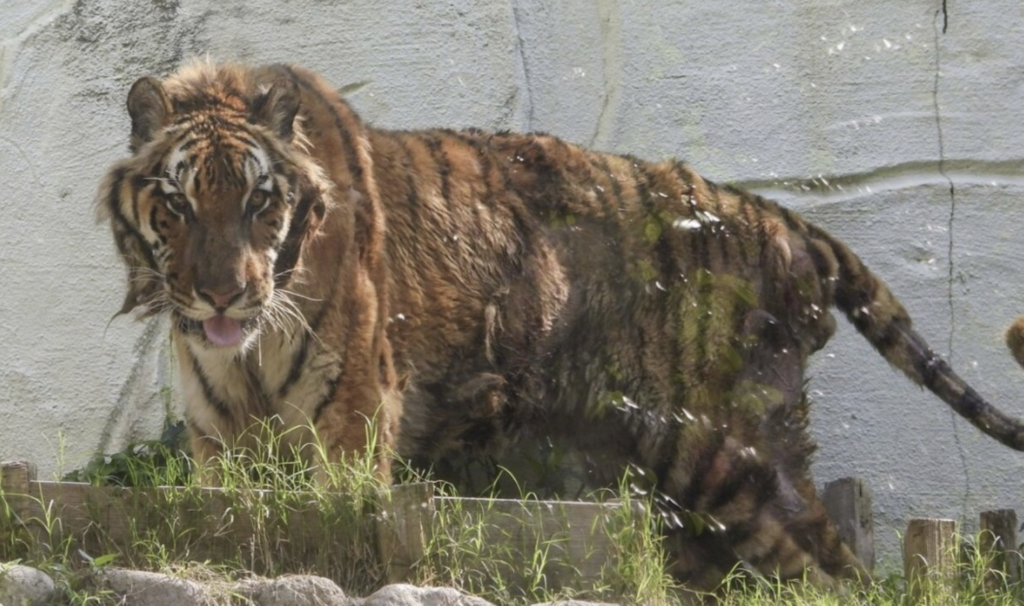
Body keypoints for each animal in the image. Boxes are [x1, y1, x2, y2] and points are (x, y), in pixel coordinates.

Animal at [97, 60, 1024, 589]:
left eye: (260, 202)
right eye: (179, 204)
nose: (223, 297)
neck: (249, 347)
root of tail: (771, 212)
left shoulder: (353, 410)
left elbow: (328, 521)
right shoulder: (220, 431)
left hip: (735, 451)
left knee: (835, 562)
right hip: (689, 482)